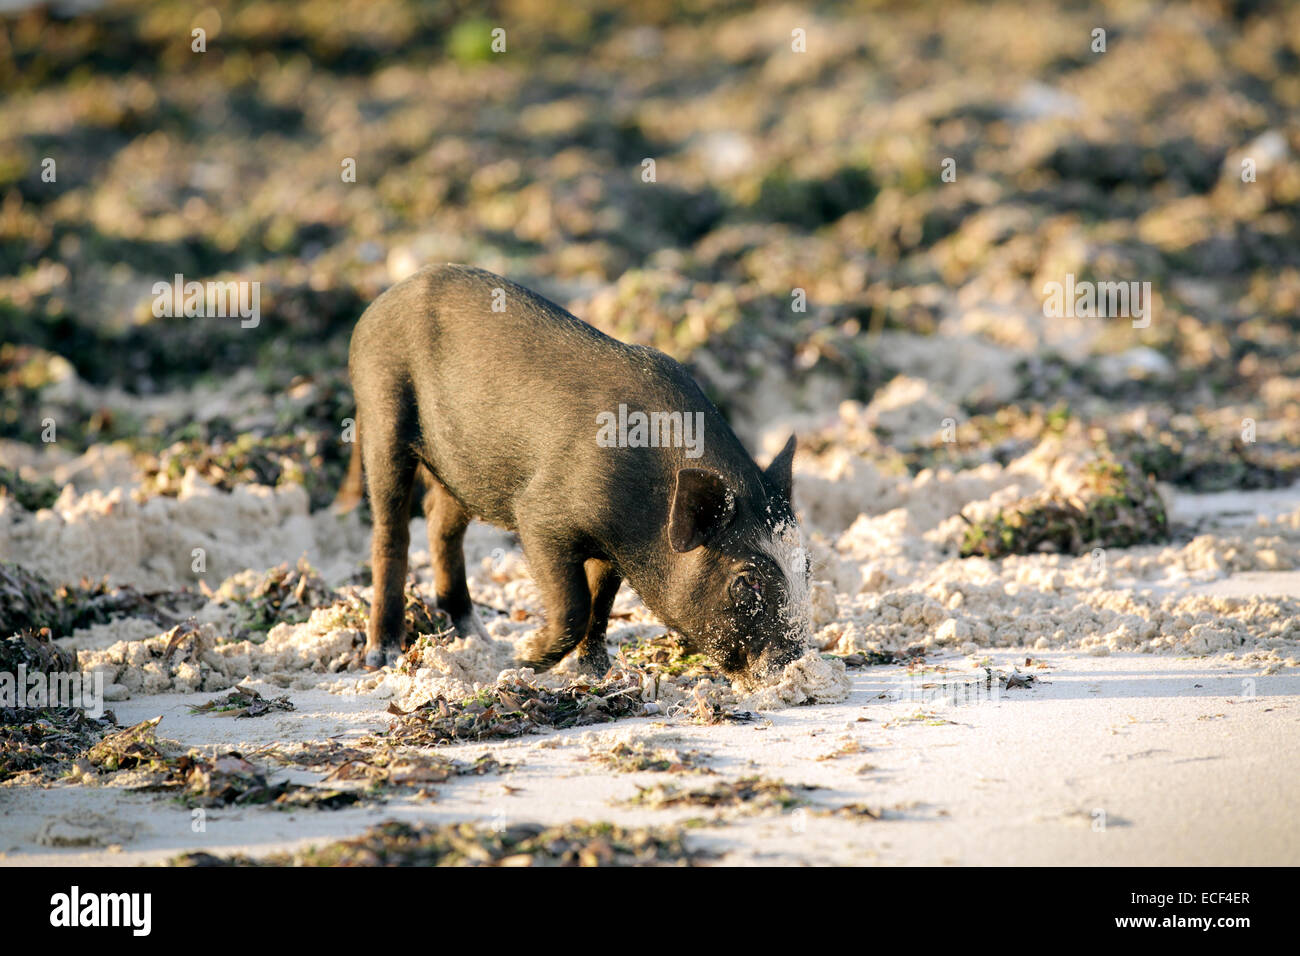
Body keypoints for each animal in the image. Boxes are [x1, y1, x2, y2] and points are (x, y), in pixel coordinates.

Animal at [337, 264, 809, 684]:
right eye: (747, 582)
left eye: (805, 566)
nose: (797, 665)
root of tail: (379, 303)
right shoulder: (540, 517)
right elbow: (574, 605)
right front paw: (523, 659)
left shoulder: (612, 546)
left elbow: (601, 602)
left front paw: (595, 671)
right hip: (382, 410)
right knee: (391, 532)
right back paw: (383, 654)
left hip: (463, 468)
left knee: (440, 523)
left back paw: (478, 638)